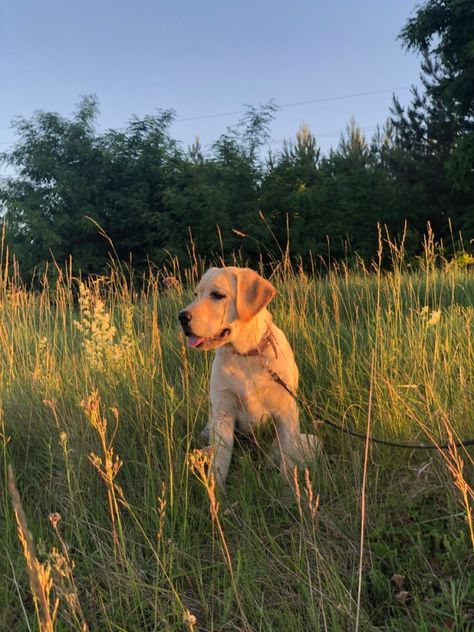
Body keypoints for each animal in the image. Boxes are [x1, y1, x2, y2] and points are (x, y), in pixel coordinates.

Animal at [179, 266, 318, 488]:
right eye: (195, 294)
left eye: (217, 295)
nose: (182, 317)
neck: (246, 355)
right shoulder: (223, 411)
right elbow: (221, 458)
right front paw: (216, 491)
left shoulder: (286, 411)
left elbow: (287, 457)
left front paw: (288, 487)